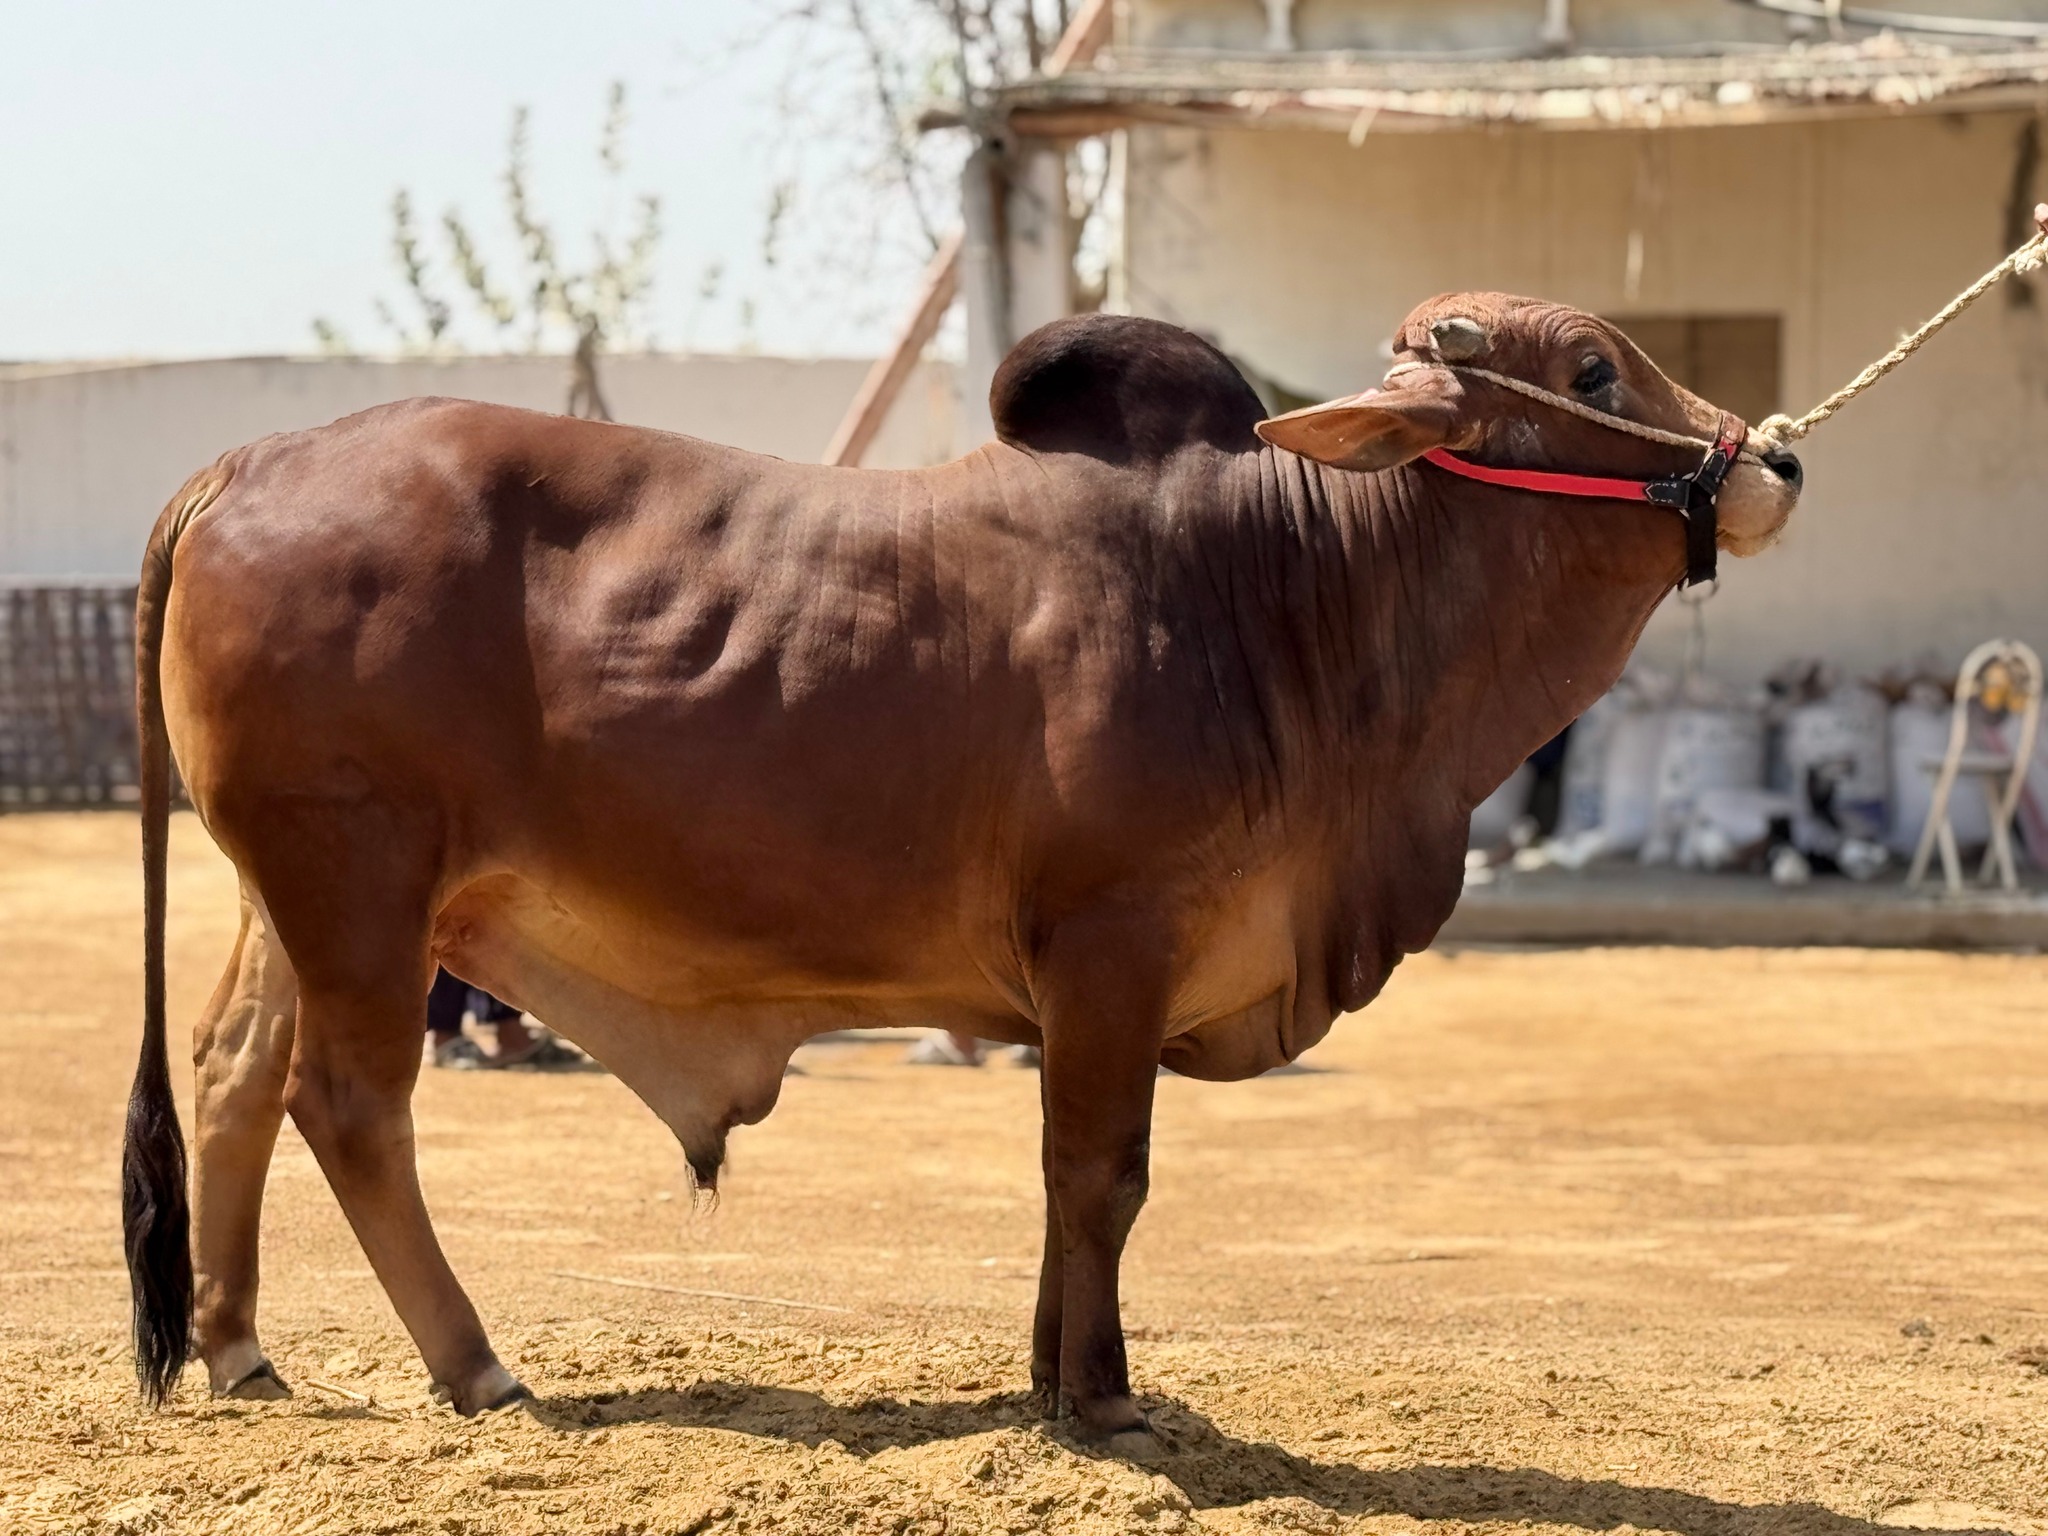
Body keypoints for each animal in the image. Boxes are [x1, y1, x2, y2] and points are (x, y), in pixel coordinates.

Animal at [121, 293, 1801, 1455]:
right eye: (1592, 372)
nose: (1775, 454)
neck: (1292, 587)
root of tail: (251, 458)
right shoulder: (1115, 944)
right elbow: (1104, 1177)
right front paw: (1104, 1401)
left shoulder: (1081, 989)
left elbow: (1064, 1187)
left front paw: (1051, 1374)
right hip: (361, 884)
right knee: (351, 1108)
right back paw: (475, 1365)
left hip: (310, 896)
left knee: (232, 1071)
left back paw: (237, 1348)